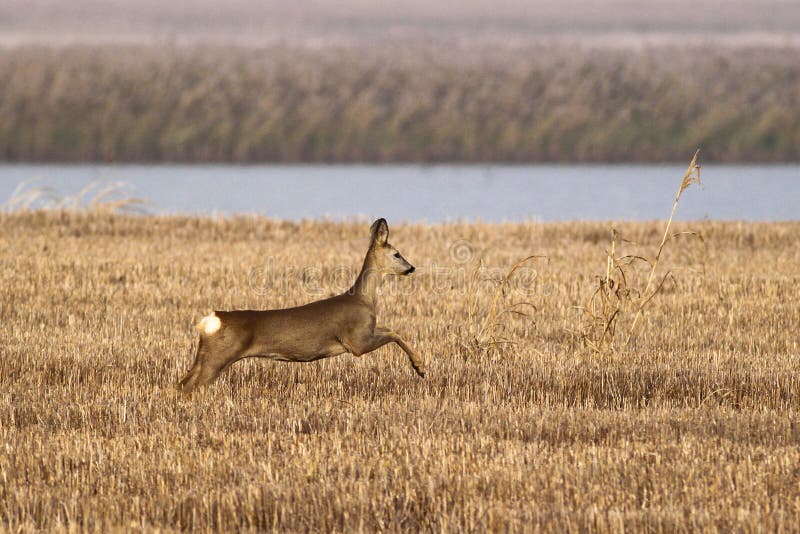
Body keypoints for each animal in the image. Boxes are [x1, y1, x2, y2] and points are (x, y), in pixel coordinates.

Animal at [178, 218, 425, 391]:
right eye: (397, 254)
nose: (411, 268)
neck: (364, 299)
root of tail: (211, 320)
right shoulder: (356, 341)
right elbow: (394, 333)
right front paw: (420, 367)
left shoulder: (365, 332)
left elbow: (391, 328)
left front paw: (419, 366)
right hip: (220, 355)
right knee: (190, 386)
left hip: (205, 353)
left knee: (182, 383)